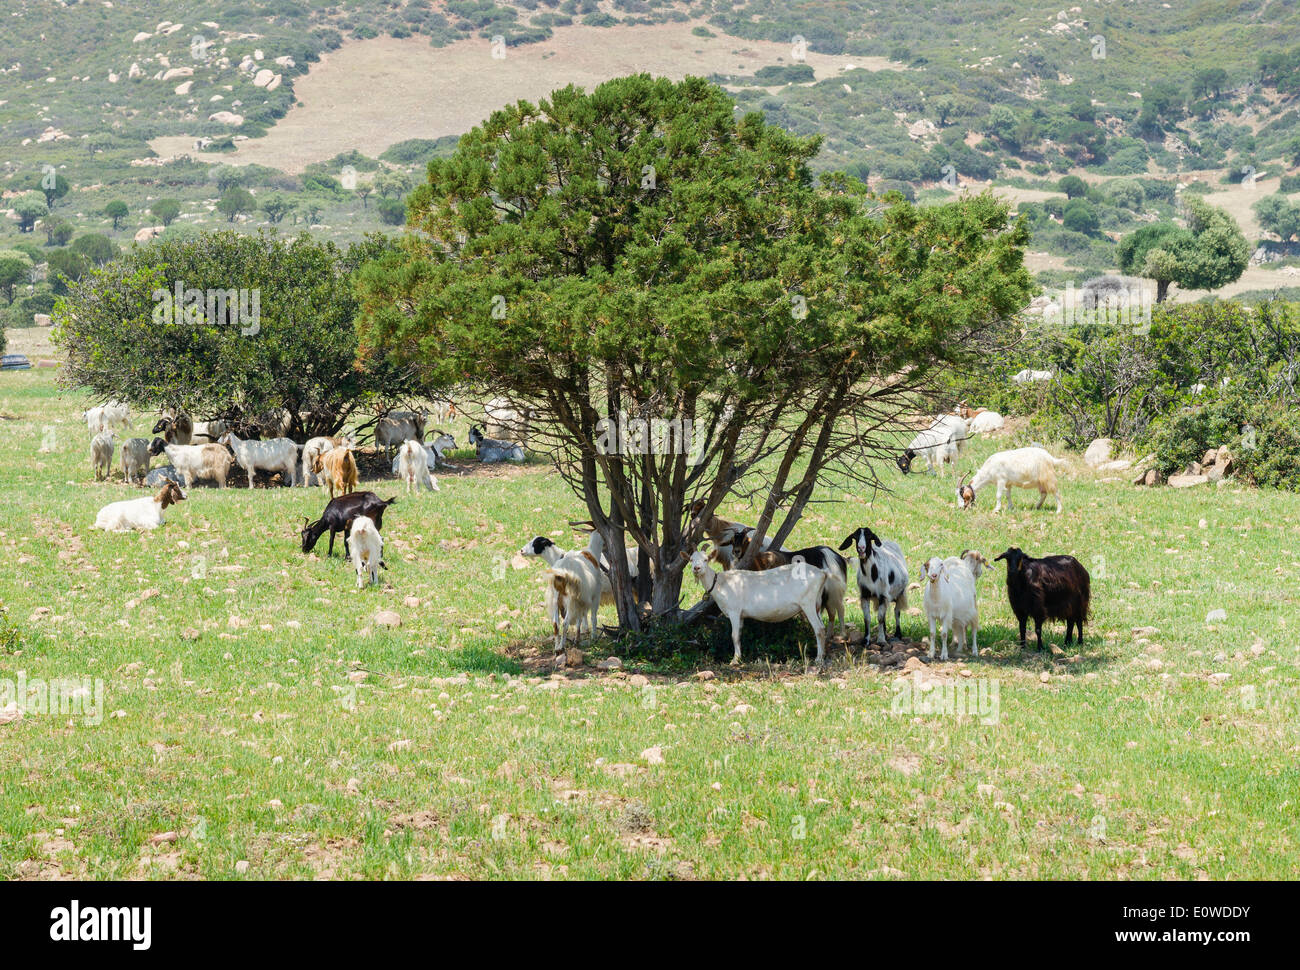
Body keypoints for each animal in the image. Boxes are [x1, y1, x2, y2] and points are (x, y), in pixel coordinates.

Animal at [685, 546, 828, 665]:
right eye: (691, 560)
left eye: (706, 559)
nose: (696, 568)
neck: (721, 583)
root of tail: (822, 574)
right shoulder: (741, 615)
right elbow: (739, 634)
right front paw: (740, 657)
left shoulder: (734, 611)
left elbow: (734, 635)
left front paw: (734, 660)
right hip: (816, 605)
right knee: (823, 627)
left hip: (808, 603)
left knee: (819, 629)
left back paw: (819, 659)